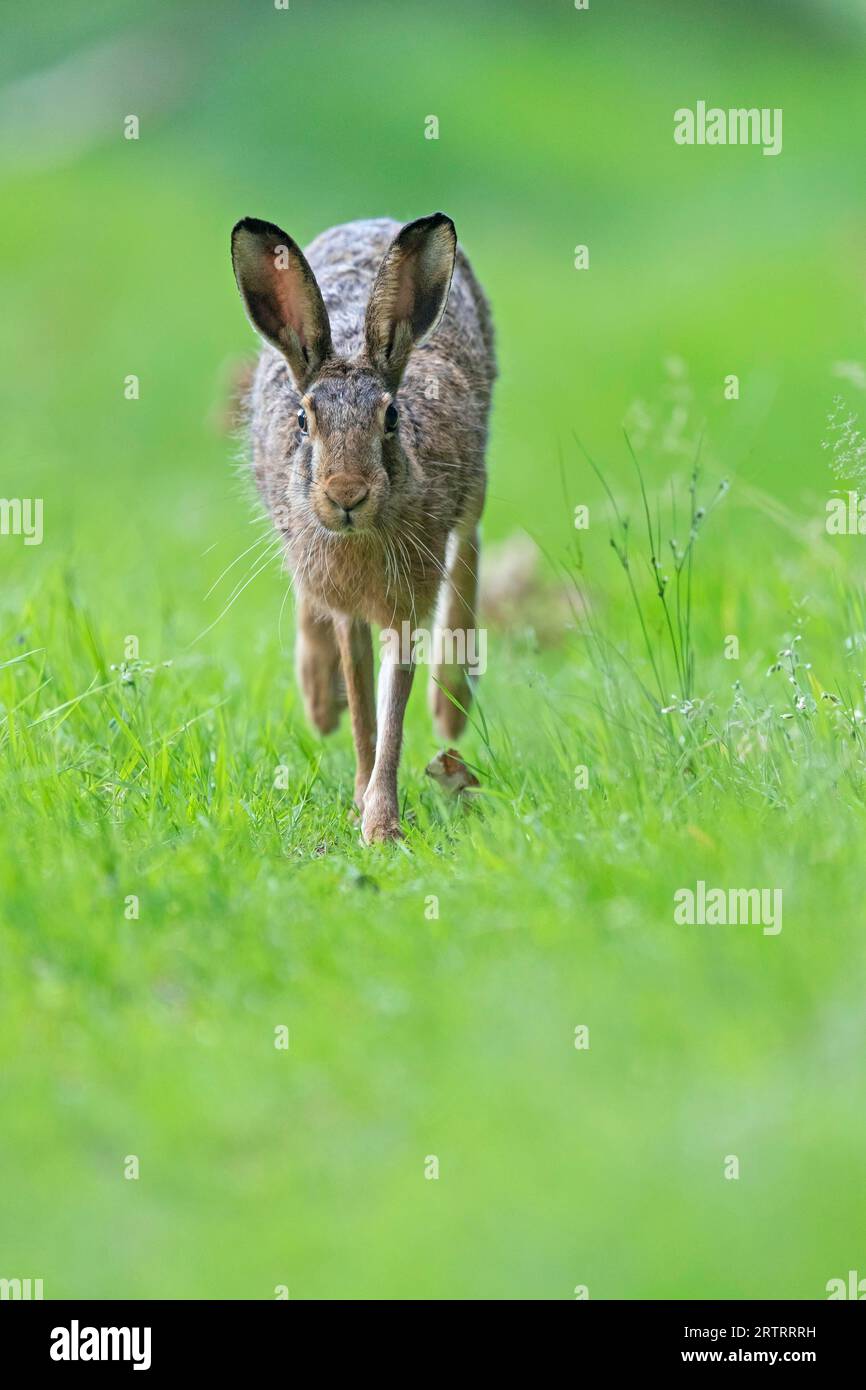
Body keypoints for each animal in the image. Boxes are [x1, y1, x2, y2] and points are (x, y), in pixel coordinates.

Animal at [231, 212, 496, 842]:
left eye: (391, 417)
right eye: (304, 421)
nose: (345, 495)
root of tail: (370, 220)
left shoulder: (406, 604)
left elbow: (392, 707)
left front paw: (380, 828)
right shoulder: (347, 606)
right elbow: (362, 705)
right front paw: (362, 803)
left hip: (475, 477)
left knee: (469, 549)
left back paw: (451, 702)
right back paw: (318, 699)